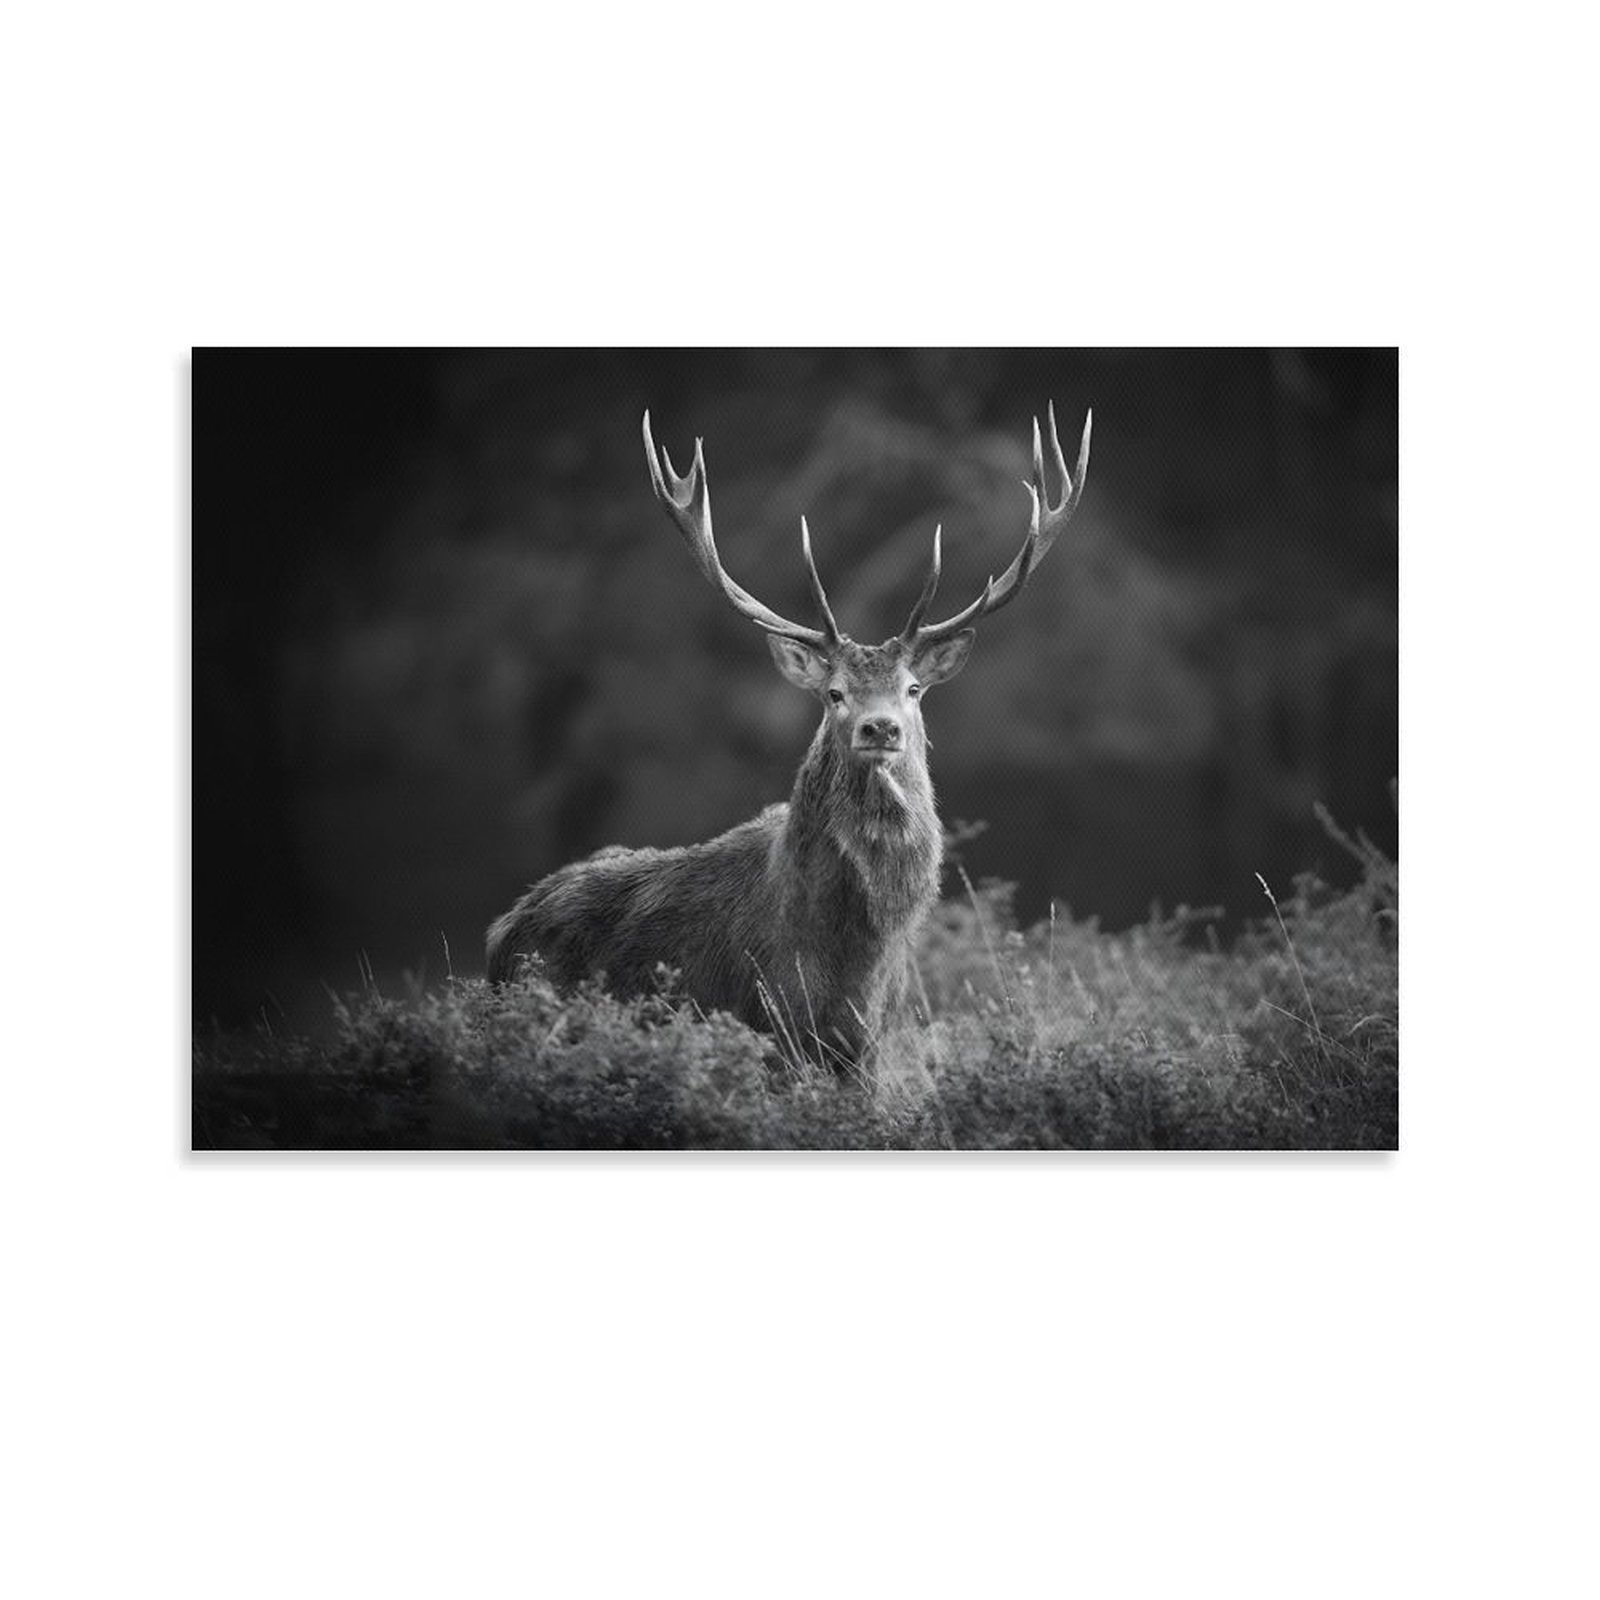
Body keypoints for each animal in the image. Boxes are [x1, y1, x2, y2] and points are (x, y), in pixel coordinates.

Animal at [486, 402, 1091, 1080]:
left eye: (912, 689)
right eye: (834, 693)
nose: (880, 727)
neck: (847, 952)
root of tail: (502, 932)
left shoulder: (871, 1043)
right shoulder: (771, 1024)